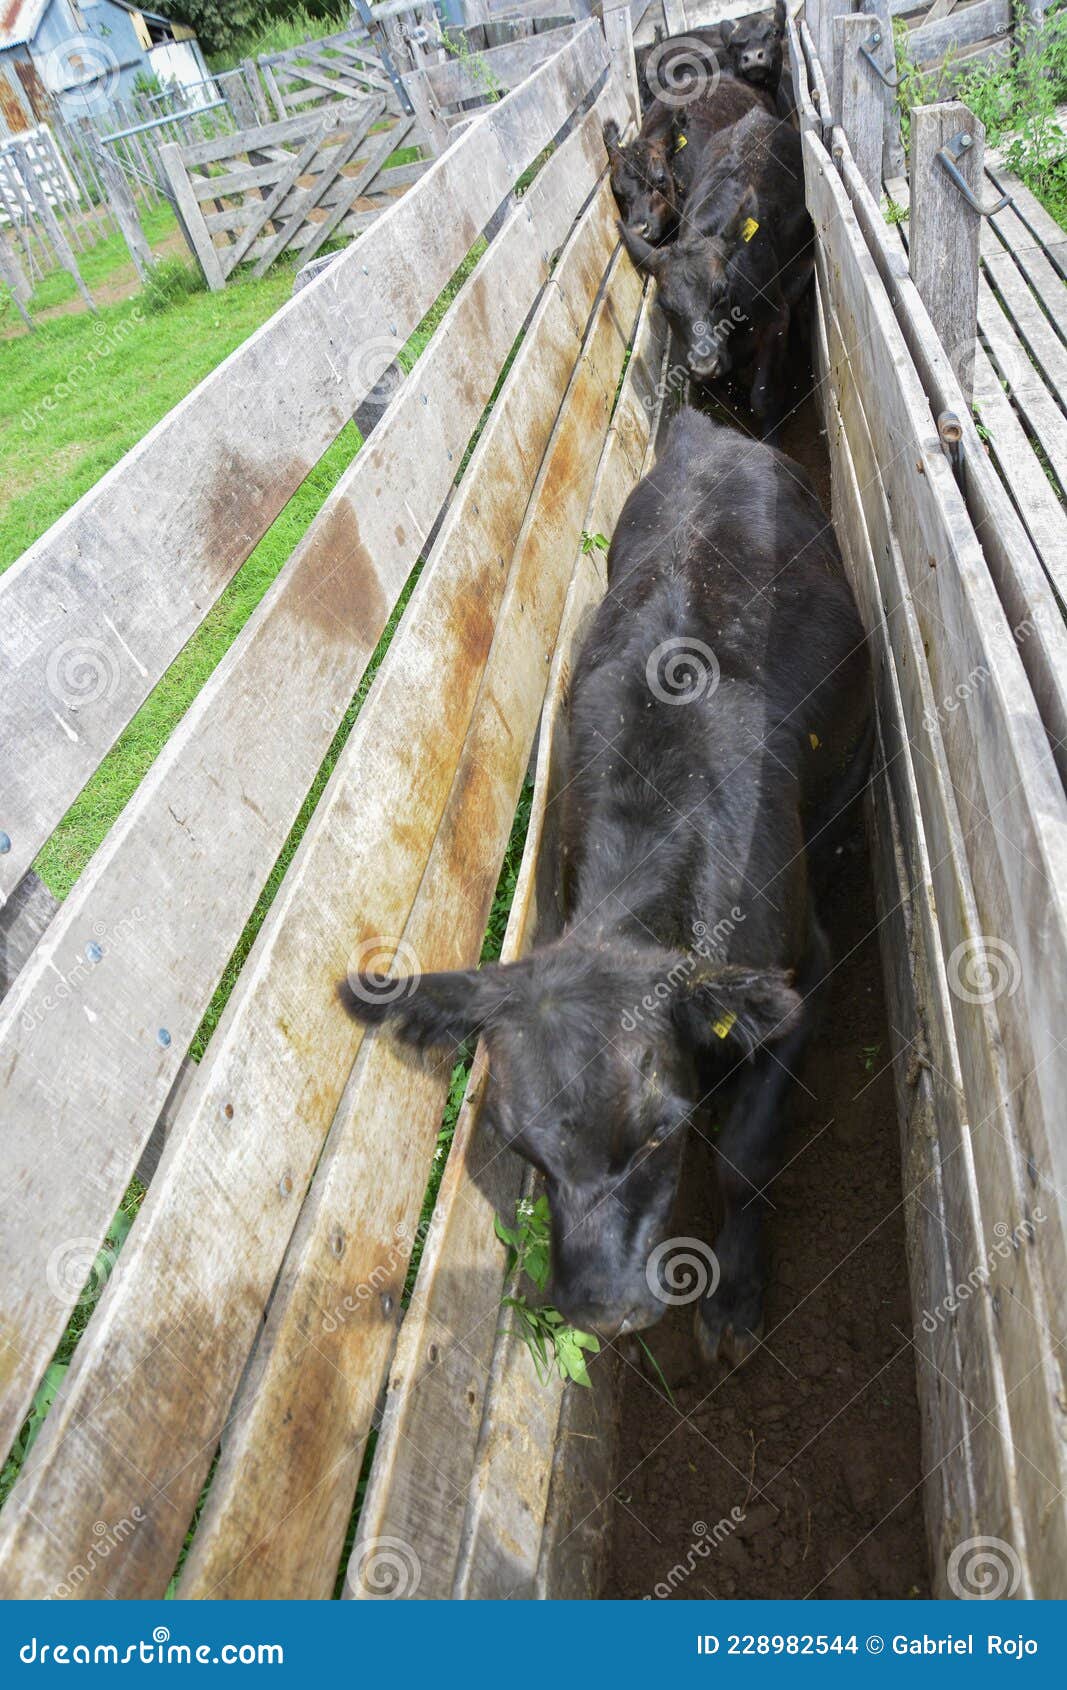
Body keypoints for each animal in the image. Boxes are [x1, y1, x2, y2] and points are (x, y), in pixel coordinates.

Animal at [341, 408, 871, 1371]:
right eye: (520, 1145)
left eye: (663, 1128)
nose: (605, 1310)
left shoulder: (800, 977)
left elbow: (742, 1156)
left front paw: (732, 1300)